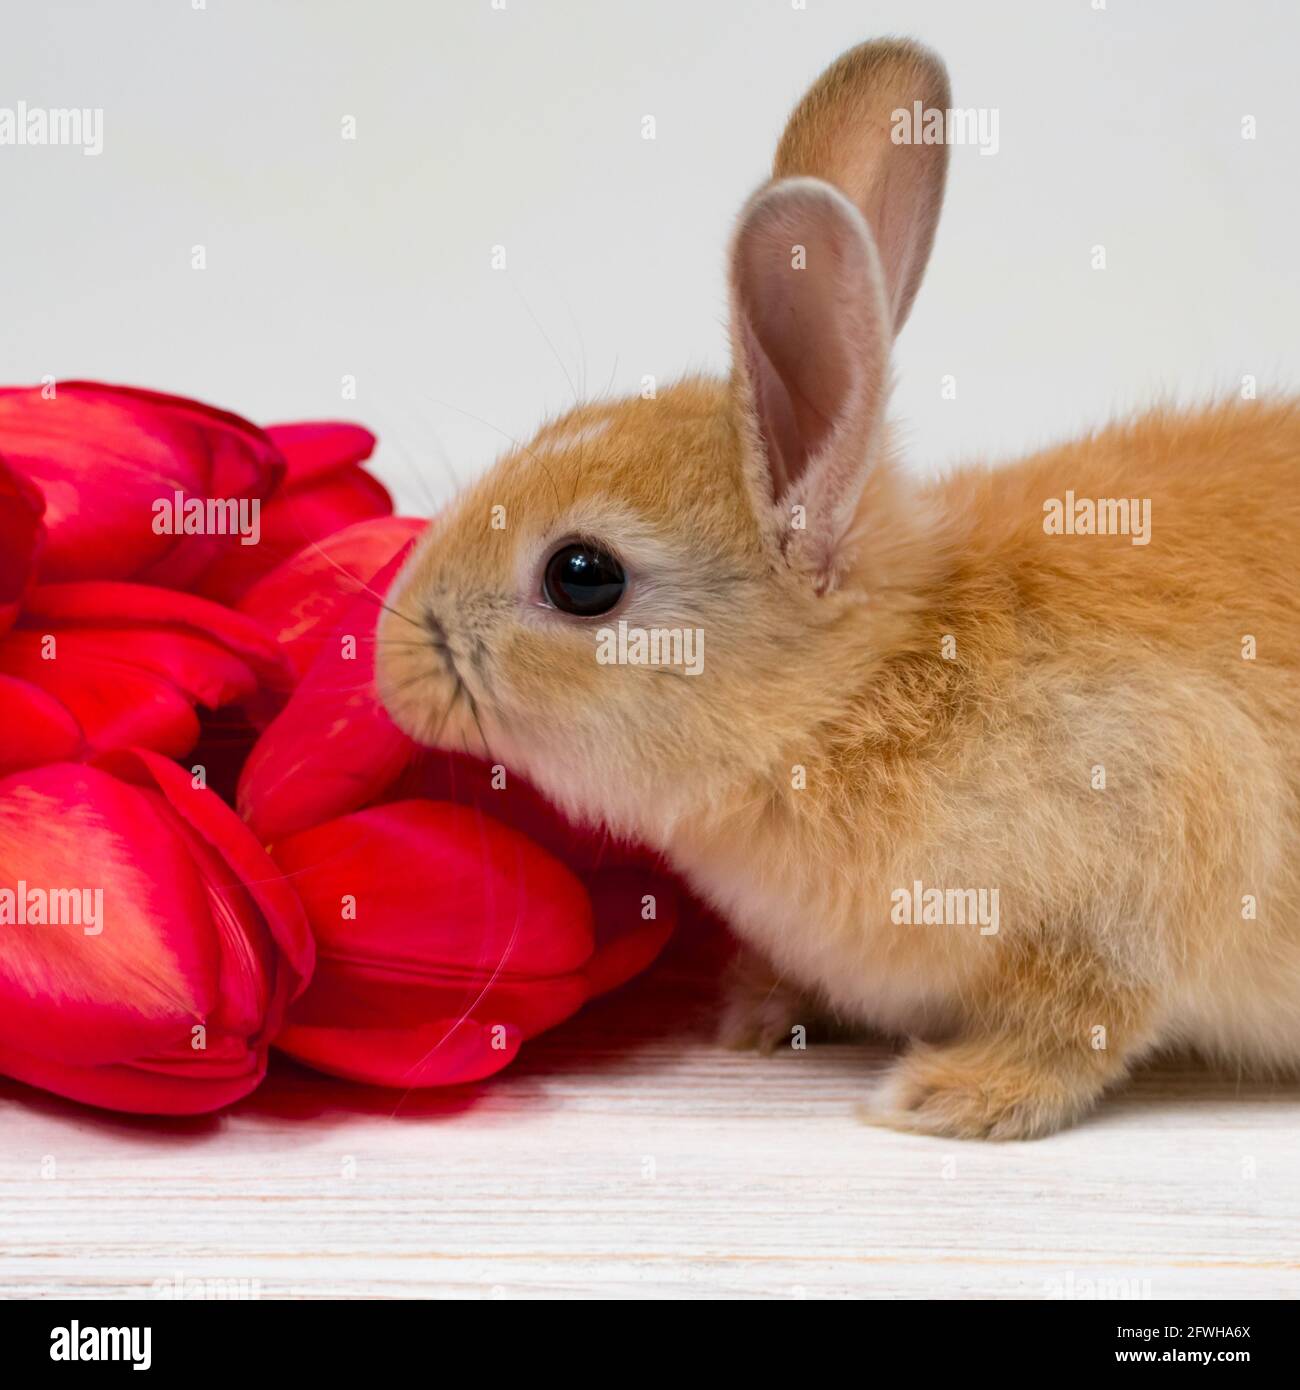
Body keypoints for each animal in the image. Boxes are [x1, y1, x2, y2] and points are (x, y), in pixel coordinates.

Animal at [376, 38, 1300, 1139]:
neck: (849, 699)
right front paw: (755, 1015)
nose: (386, 668)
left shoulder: (1153, 843)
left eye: (582, 576)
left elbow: (1083, 1017)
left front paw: (947, 1096)